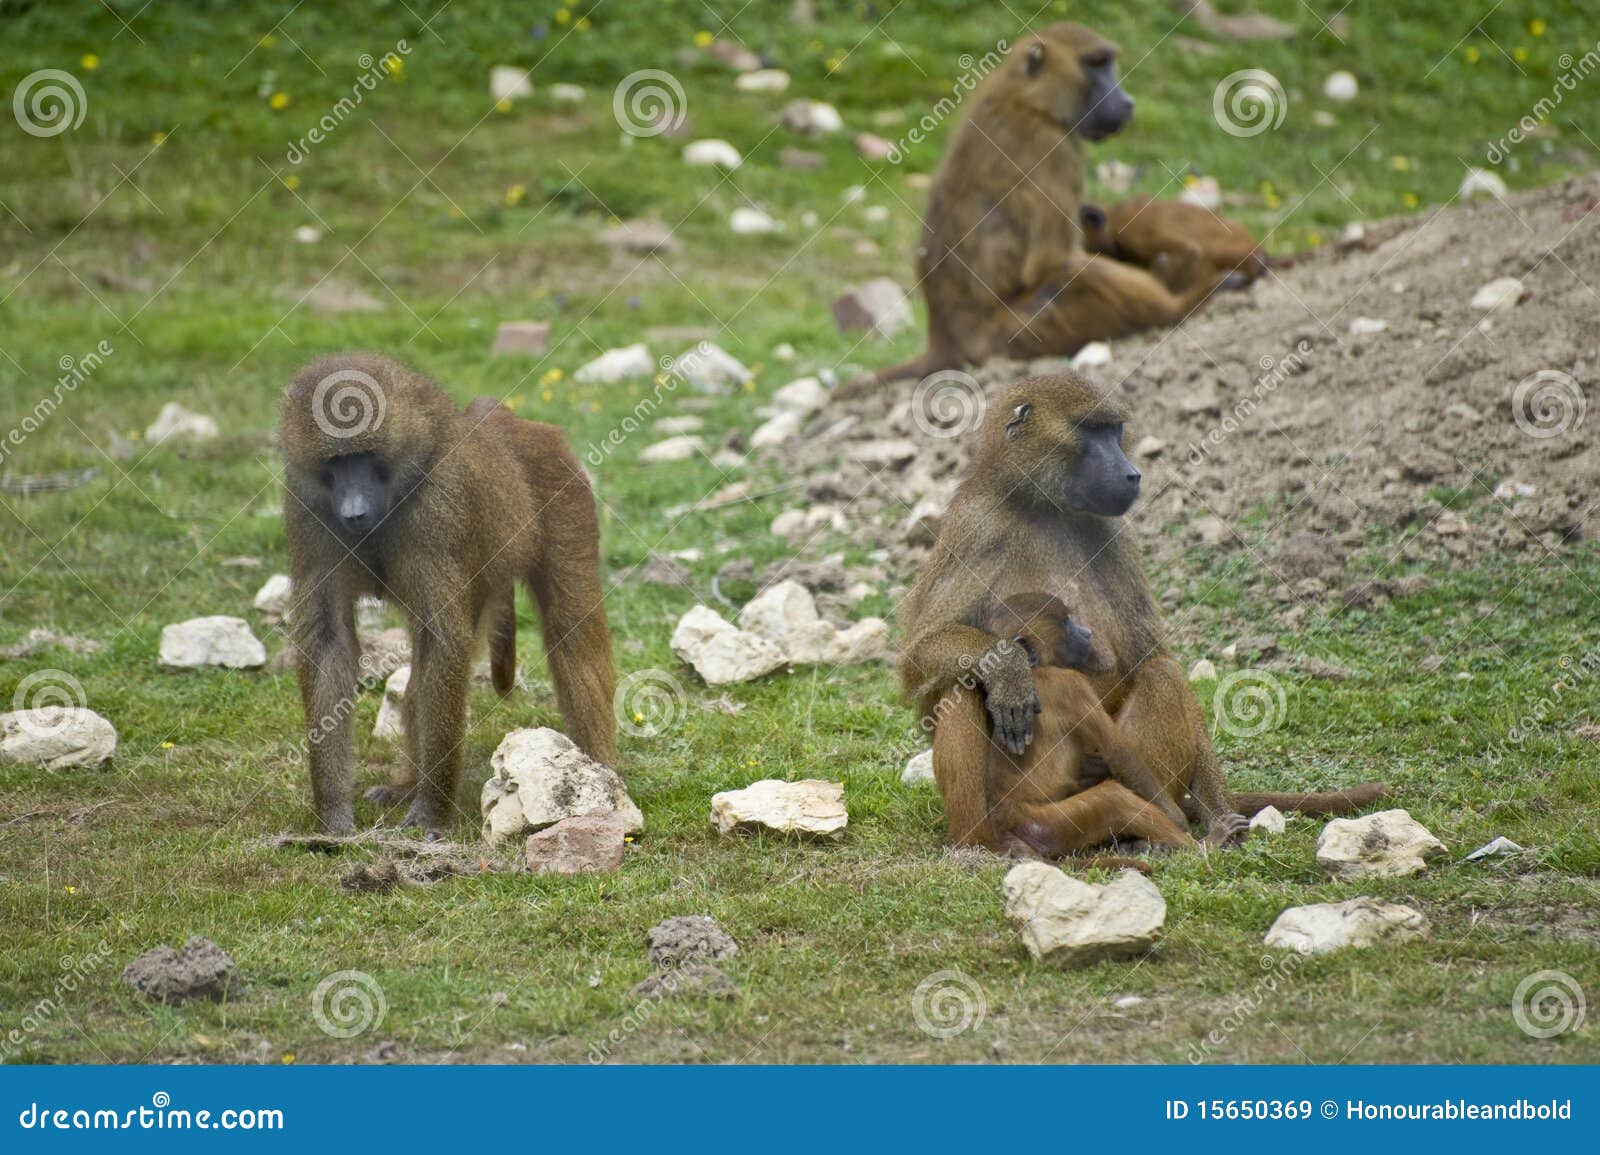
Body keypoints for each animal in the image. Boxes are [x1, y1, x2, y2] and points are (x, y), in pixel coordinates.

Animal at [280, 354, 616, 838]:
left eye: (365, 457)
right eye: (336, 463)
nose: (354, 512)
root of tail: (515, 424)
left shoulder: (440, 509)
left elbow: (444, 640)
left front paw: (431, 814)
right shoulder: (306, 511)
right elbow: (329, 643)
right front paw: (334, 813)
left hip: (566, 495)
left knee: (572, 636)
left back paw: (600, 775)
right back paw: (405, 786)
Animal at [872, 23, 1235, 385]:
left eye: (1107, 63)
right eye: (1094, 63)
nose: (1127, 102)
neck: (1028, 99)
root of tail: (944, 342)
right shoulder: (1056, 150)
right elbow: (1051, 260)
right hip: (1015, 335)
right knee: (1076, 272)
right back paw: (1191, 299)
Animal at [903, 370, 1388, 857]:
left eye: (1114, 431)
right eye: (1089, 429)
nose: (1132, 474)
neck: (1043, 506)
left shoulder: (1115, 534)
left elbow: (1153, 656)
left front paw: (1220, 812)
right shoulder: (975, 528)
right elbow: (918, 659)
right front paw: (1009, 671)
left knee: (1160, 677)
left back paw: (1149, 838)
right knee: (961, 685)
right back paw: (979, 844)